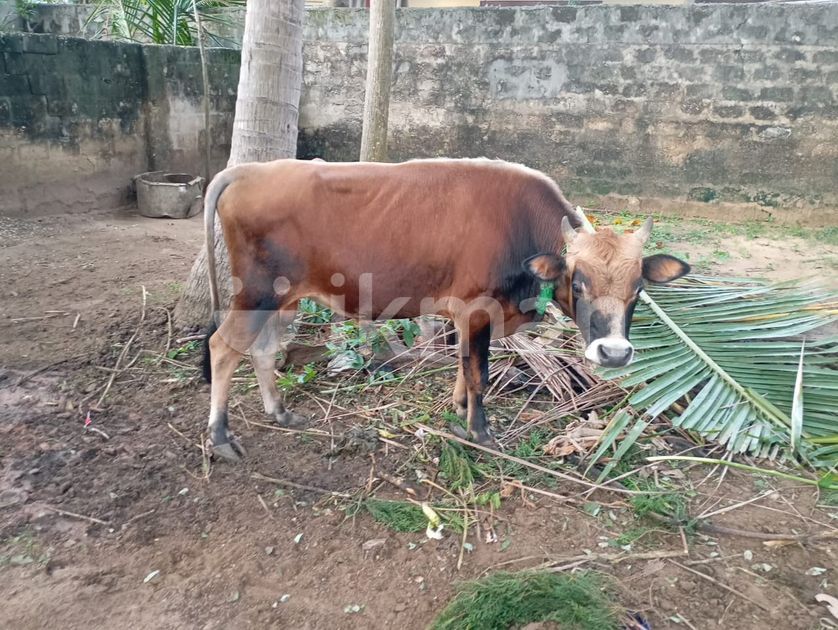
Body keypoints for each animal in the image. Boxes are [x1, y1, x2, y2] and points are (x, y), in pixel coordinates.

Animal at [201, 158, 689, 461]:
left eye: (639, 288)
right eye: (579, 281)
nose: (614, 353)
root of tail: (248, 170)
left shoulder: (464, 313)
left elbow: (462, 363)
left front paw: (457, 409)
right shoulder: (477, 307)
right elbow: (479, 372)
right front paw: (480, 431)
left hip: (283, 299)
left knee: (263, 350)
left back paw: (279, 412)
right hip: (255, 295)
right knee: (223, 348)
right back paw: (221, 437)